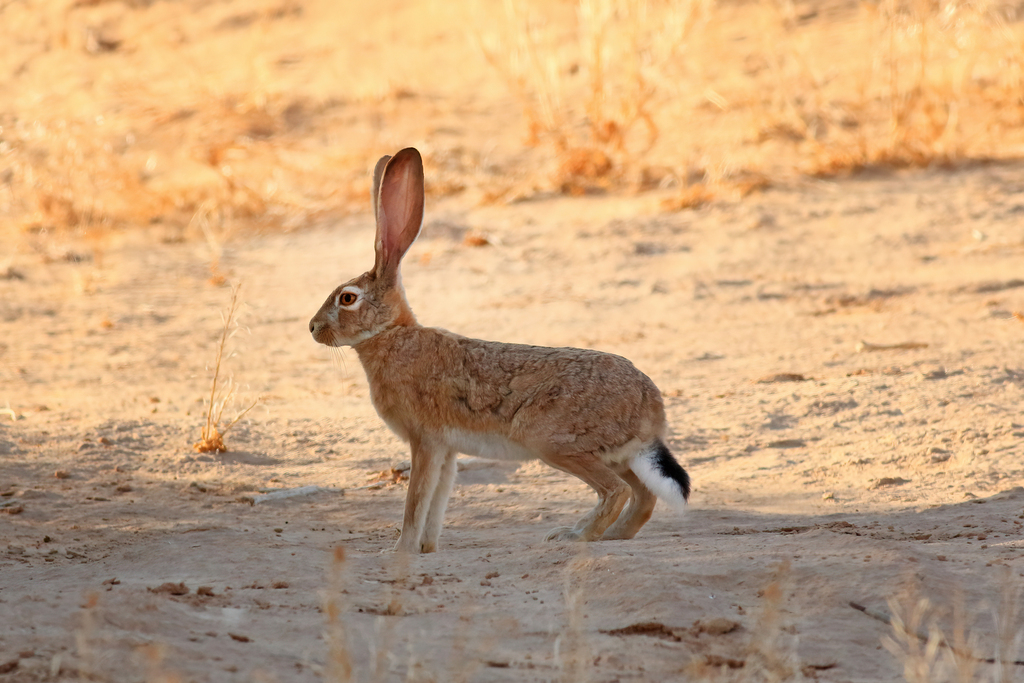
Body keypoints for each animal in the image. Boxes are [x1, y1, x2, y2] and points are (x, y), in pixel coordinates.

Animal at [309, 148, 690, 553]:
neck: (392, 334)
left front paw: (399, 551)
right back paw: (612, 535)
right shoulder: (446, 449)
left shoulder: (426, 440)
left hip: (551, 442)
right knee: (643, 496)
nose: (312, 328)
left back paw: (572, 536)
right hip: (613, 454)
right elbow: (437, 500)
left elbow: (416, 501)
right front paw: (427, 549)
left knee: (616, 491)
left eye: (347, 298)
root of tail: (651, 409)